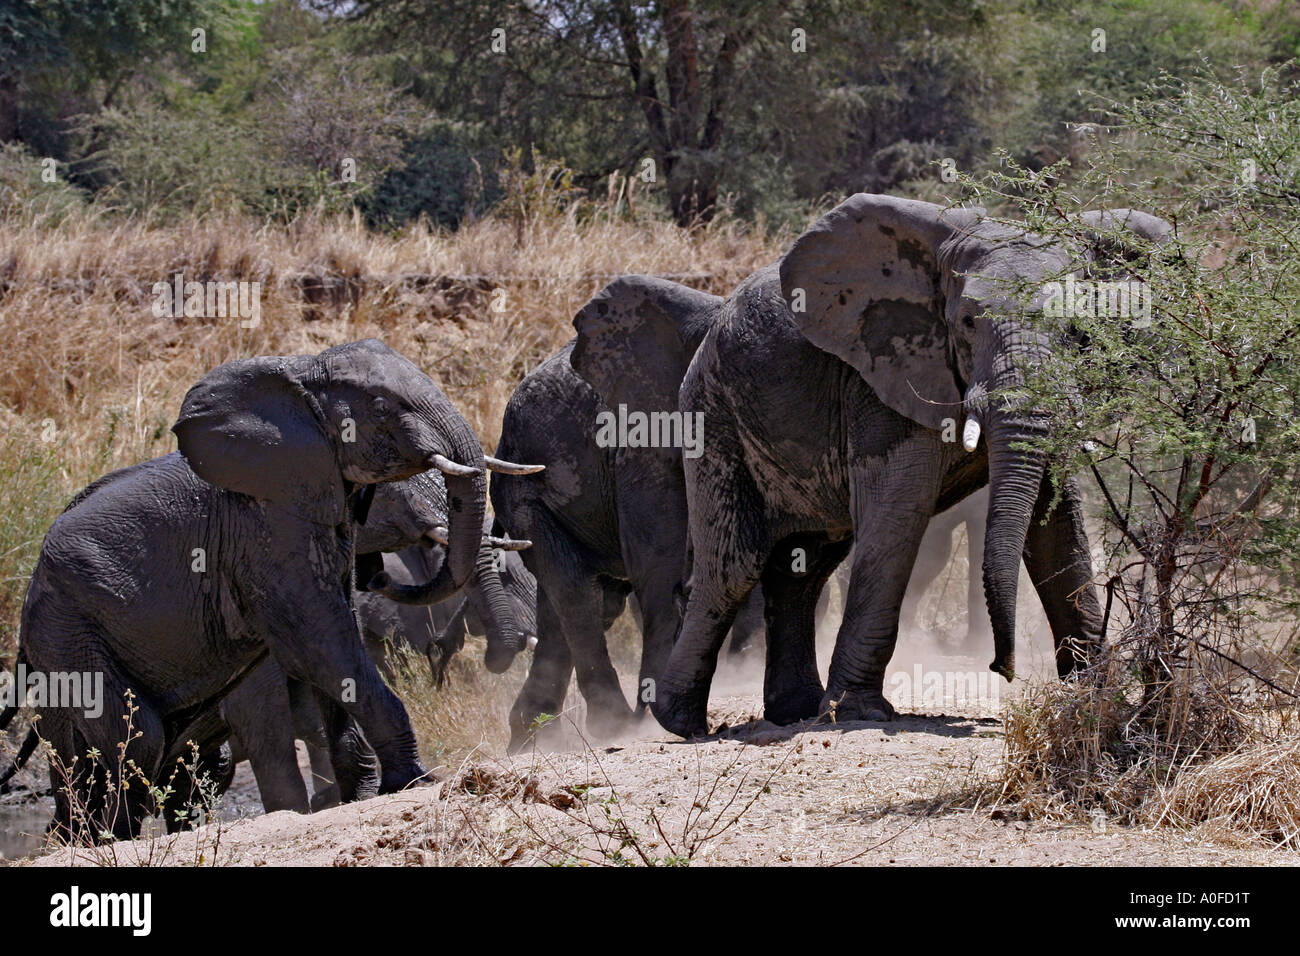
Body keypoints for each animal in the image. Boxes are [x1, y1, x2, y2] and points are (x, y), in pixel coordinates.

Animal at [0, 339, 541, 840]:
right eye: (382, 408)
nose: (380, 577)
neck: (302, 373)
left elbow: (336, 650)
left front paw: (362, 794)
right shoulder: (266, 528)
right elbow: (317, 643)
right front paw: (413, 782)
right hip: (68, 628)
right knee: (139, 739)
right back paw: (111, 838)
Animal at [570, 194, 1169, 738]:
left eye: (1080, 330)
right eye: (967, 322)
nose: (1002, 667)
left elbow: (1058, 523)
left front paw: (1096, 694)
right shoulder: (882, 375)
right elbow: (897, 511)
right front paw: (859, 713)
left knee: (804, 568)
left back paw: (792, 713)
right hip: (712, 414)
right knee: (732, 567)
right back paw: (682, 724)